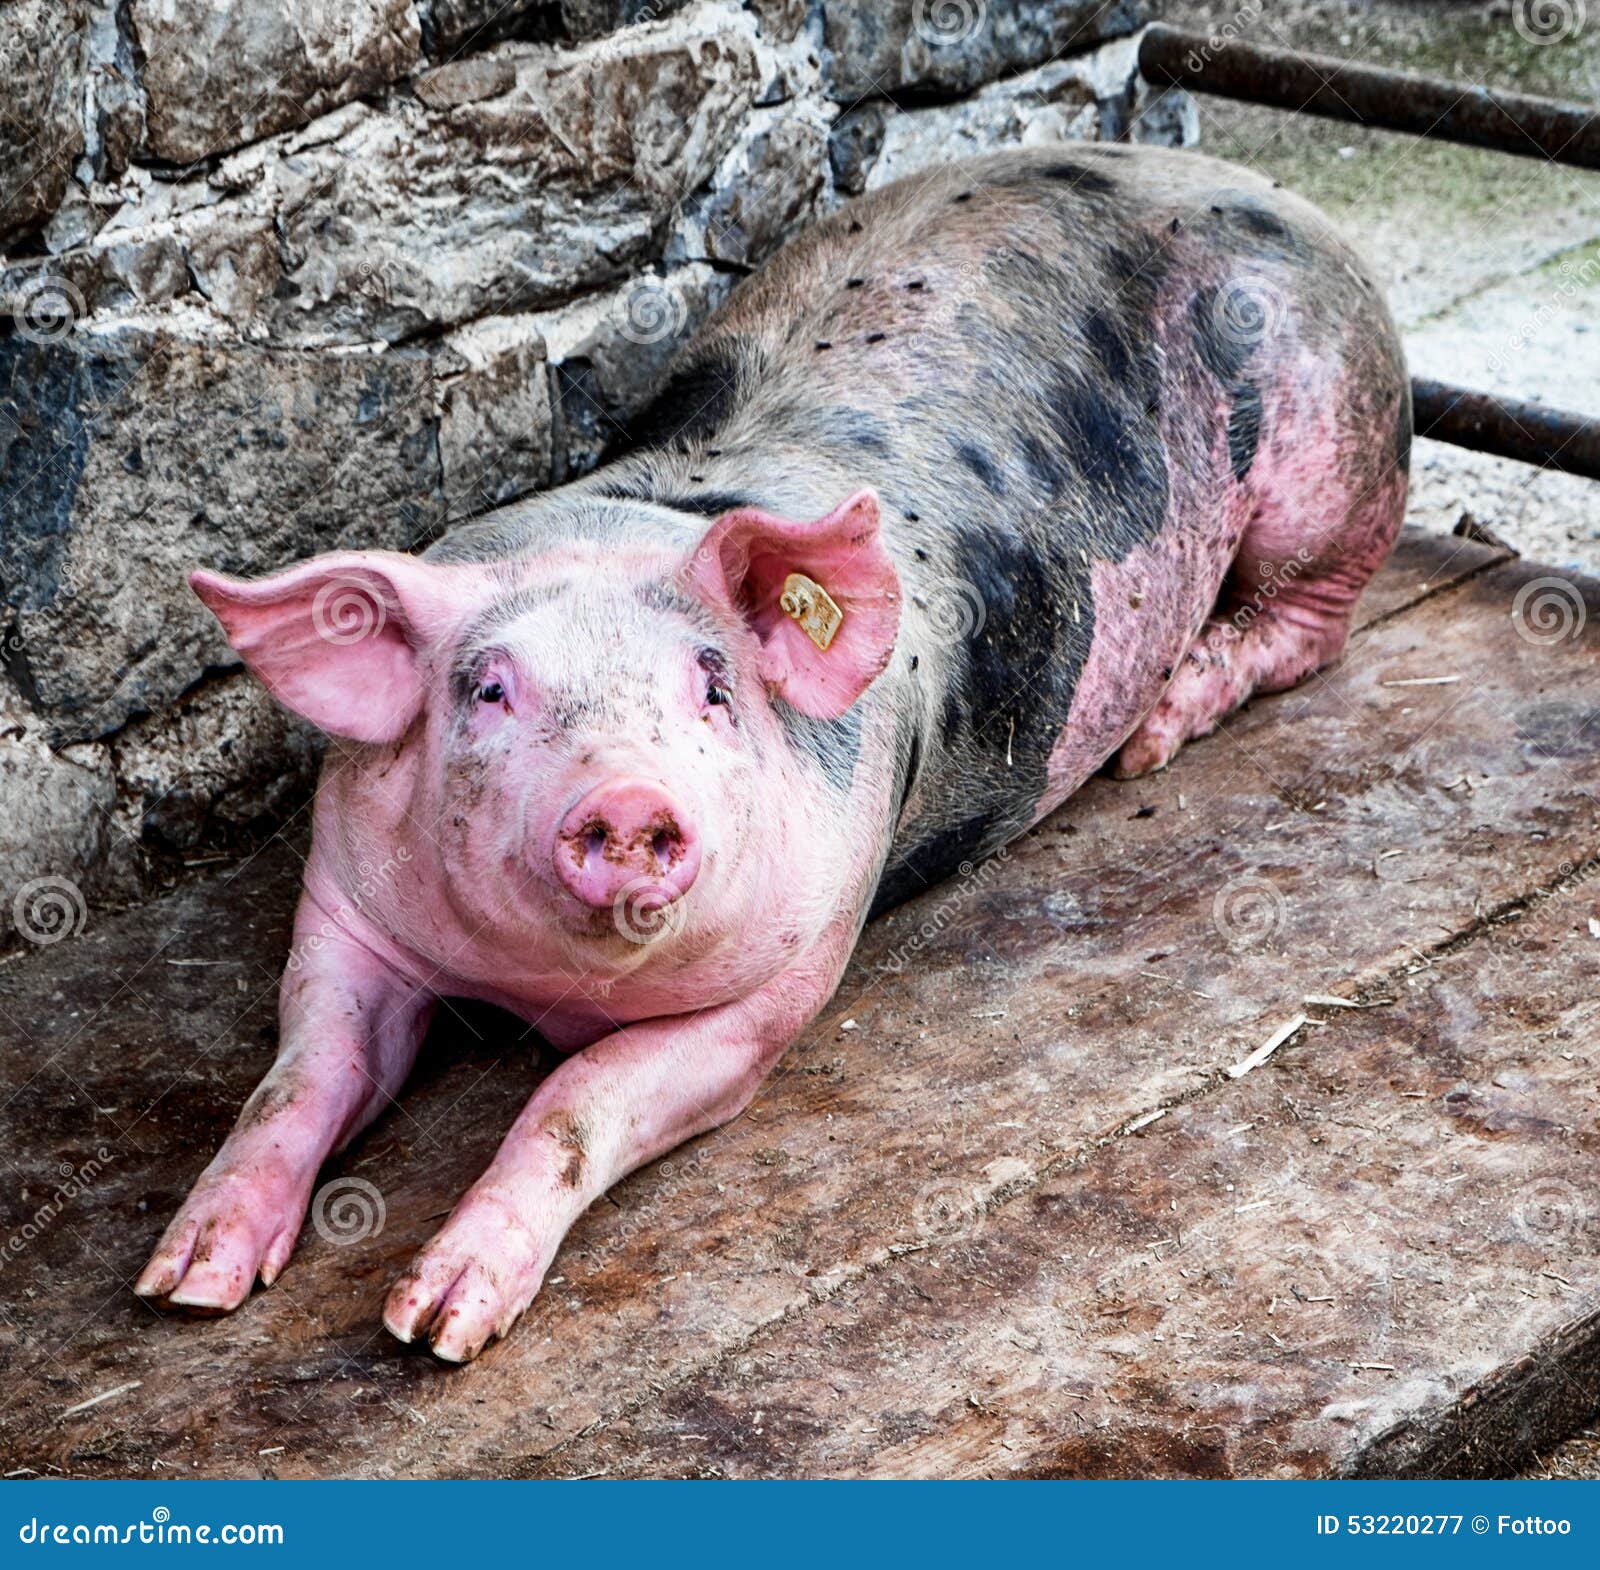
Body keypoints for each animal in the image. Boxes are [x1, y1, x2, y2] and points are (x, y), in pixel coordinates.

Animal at [135, 145, 1409, 1361]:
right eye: (489, 690)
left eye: (711, 686)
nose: (624, 798)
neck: (546, 988)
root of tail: (1267, 192)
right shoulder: (343, 903)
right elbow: (300, 1075)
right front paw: (184, 1283)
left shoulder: (780, 976)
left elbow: (575, 1101)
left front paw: (434, 1326)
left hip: (1333, 445)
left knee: (1313, 616)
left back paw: (1154, 733)